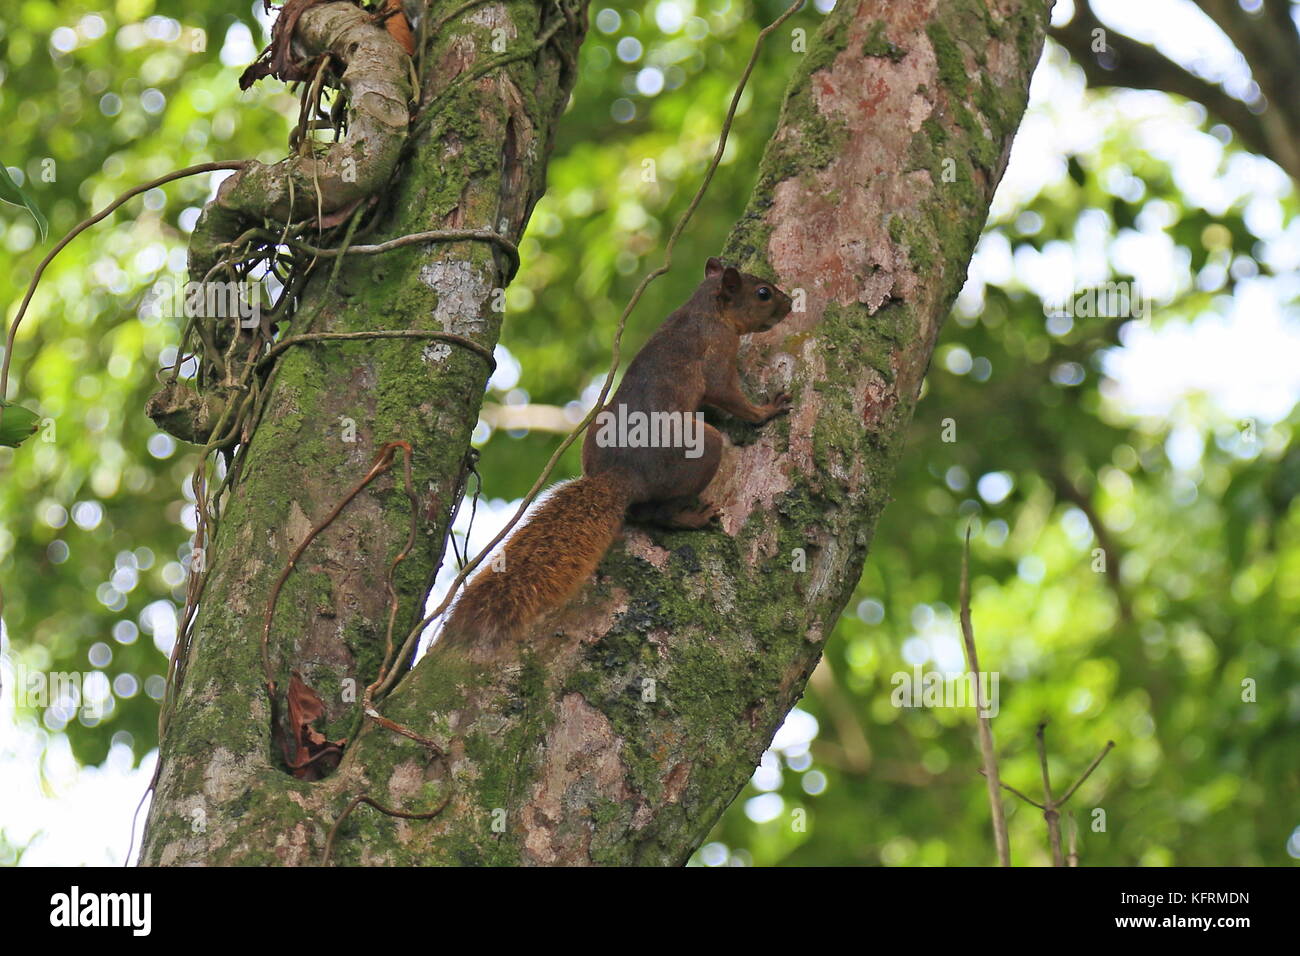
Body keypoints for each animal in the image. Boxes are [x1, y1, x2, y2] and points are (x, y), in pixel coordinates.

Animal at [440, 257, 793, 648]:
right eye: (763, 293)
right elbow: (728, 394)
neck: (705, 307)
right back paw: (690, 518)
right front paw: (767, 410)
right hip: (701, 450)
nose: (791, 303)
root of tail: (621, 477)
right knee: (654, 512)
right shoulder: (717, 350)